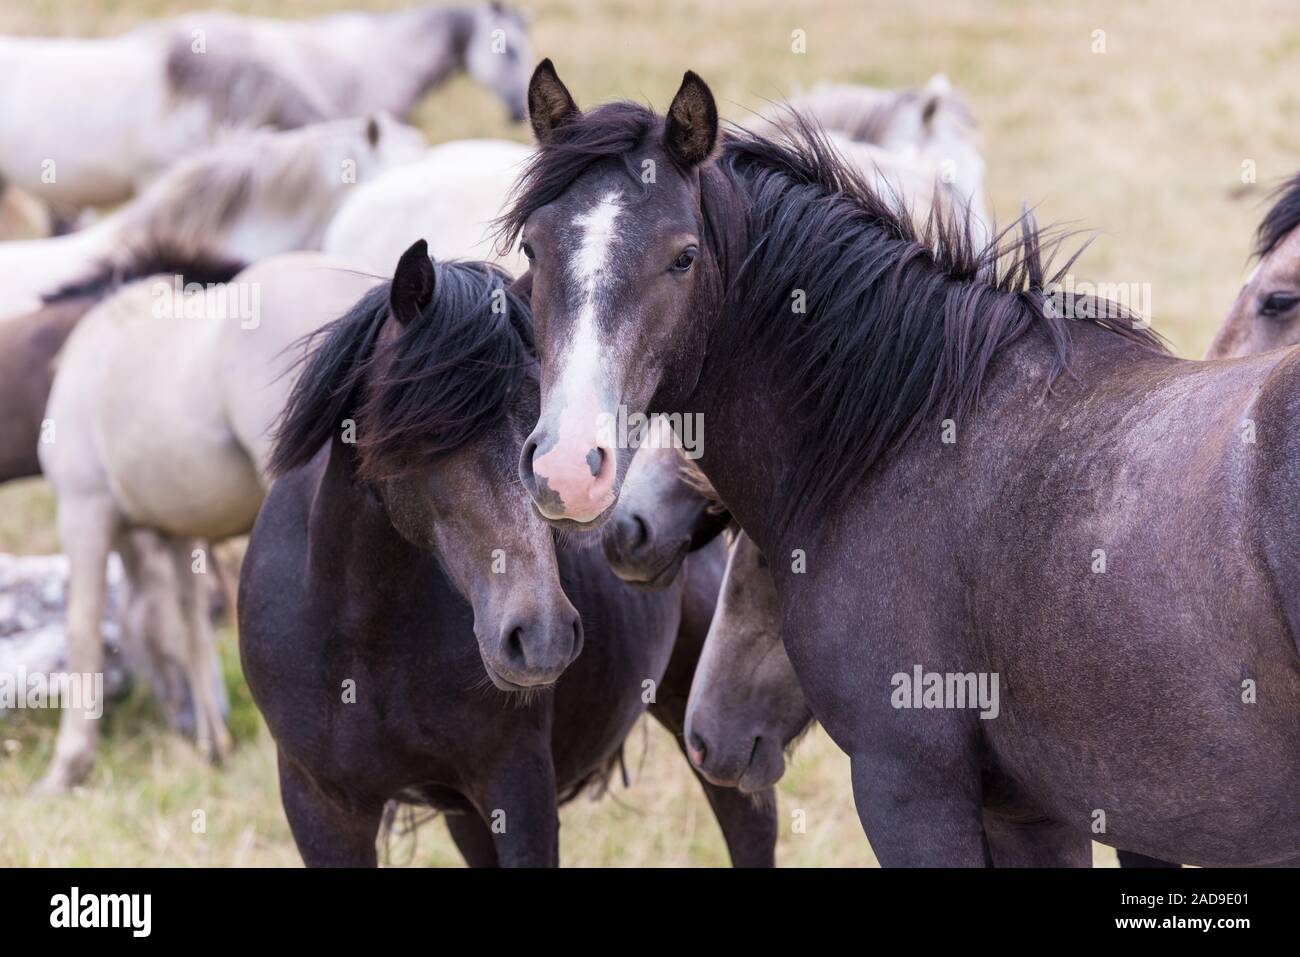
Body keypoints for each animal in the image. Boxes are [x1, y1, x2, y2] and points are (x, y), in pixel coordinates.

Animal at [508, 62, 1300, 867]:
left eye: (683, 256)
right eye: (532, 251)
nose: (570, 467)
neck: (905, 435)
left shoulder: (908, 787)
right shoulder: (1034, 814)